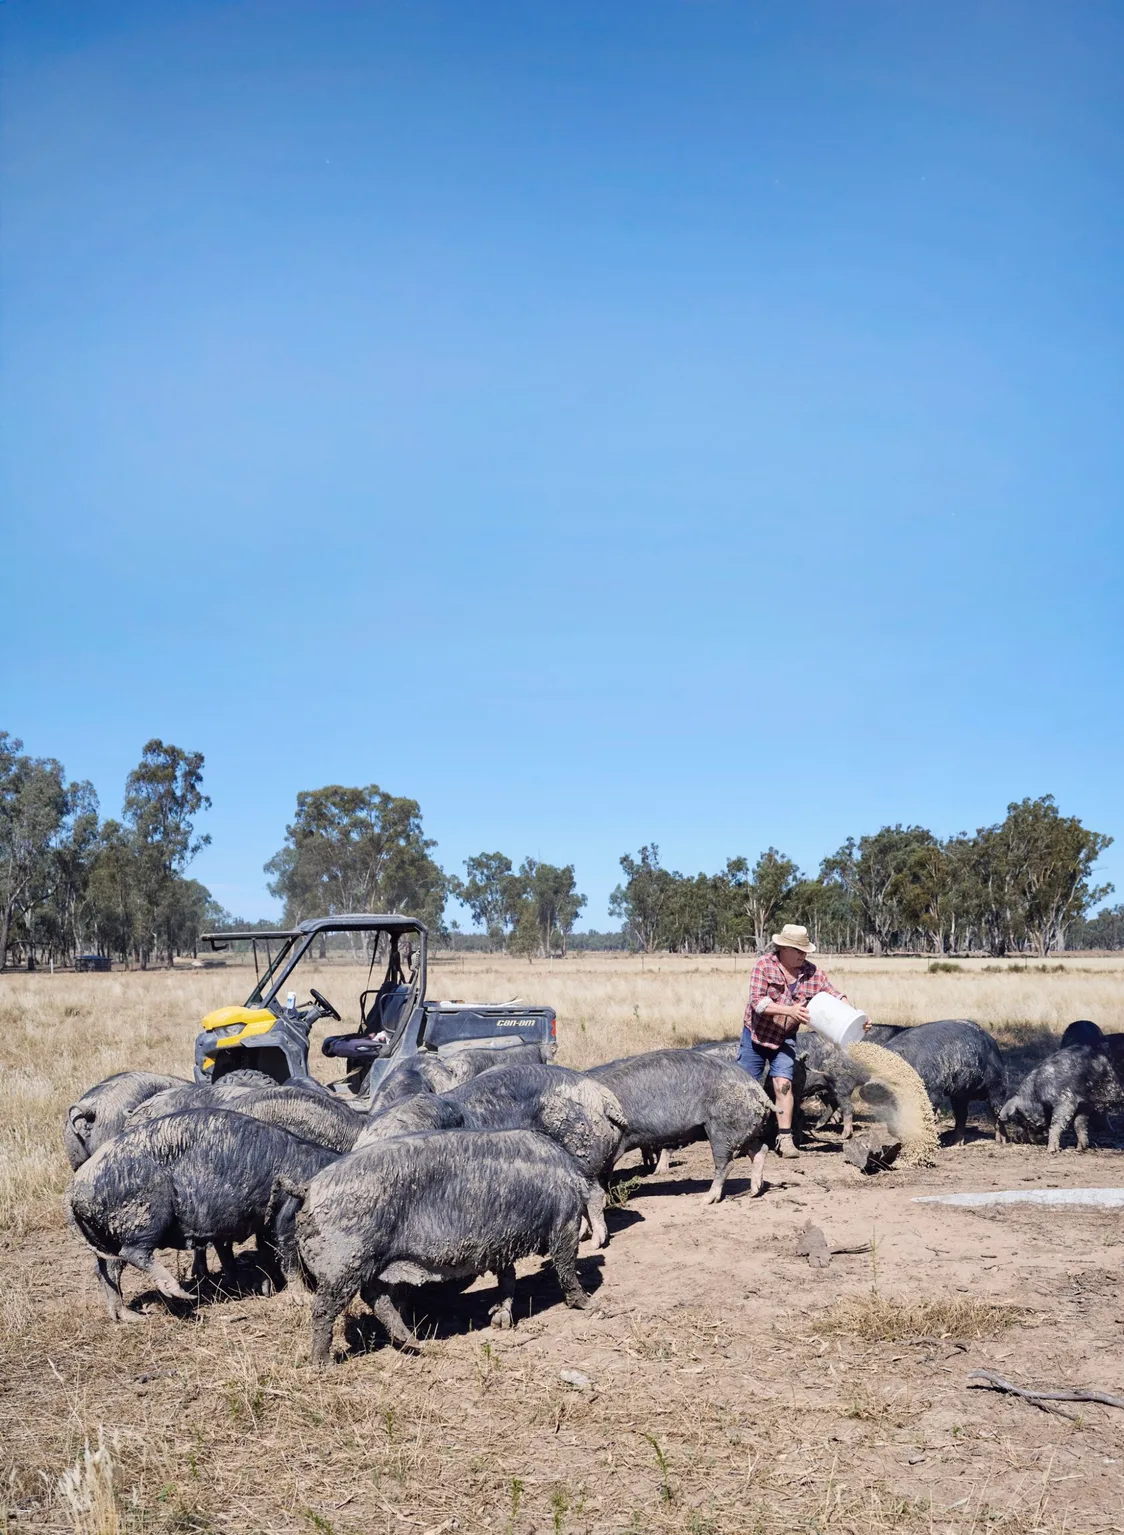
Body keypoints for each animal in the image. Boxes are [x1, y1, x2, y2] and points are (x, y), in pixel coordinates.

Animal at [293, 1128, 594, 1363]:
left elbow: (508, 1276)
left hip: (368, 1262)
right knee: (325, 1308)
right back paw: (323, 1363)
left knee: (375, 1297)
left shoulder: (500, 1242)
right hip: (344, 1262)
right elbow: (565, 1262)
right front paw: (587, 1304)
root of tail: (309, 1188)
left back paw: (413, 1345)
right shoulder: (566, 1218)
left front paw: (500, 1322)